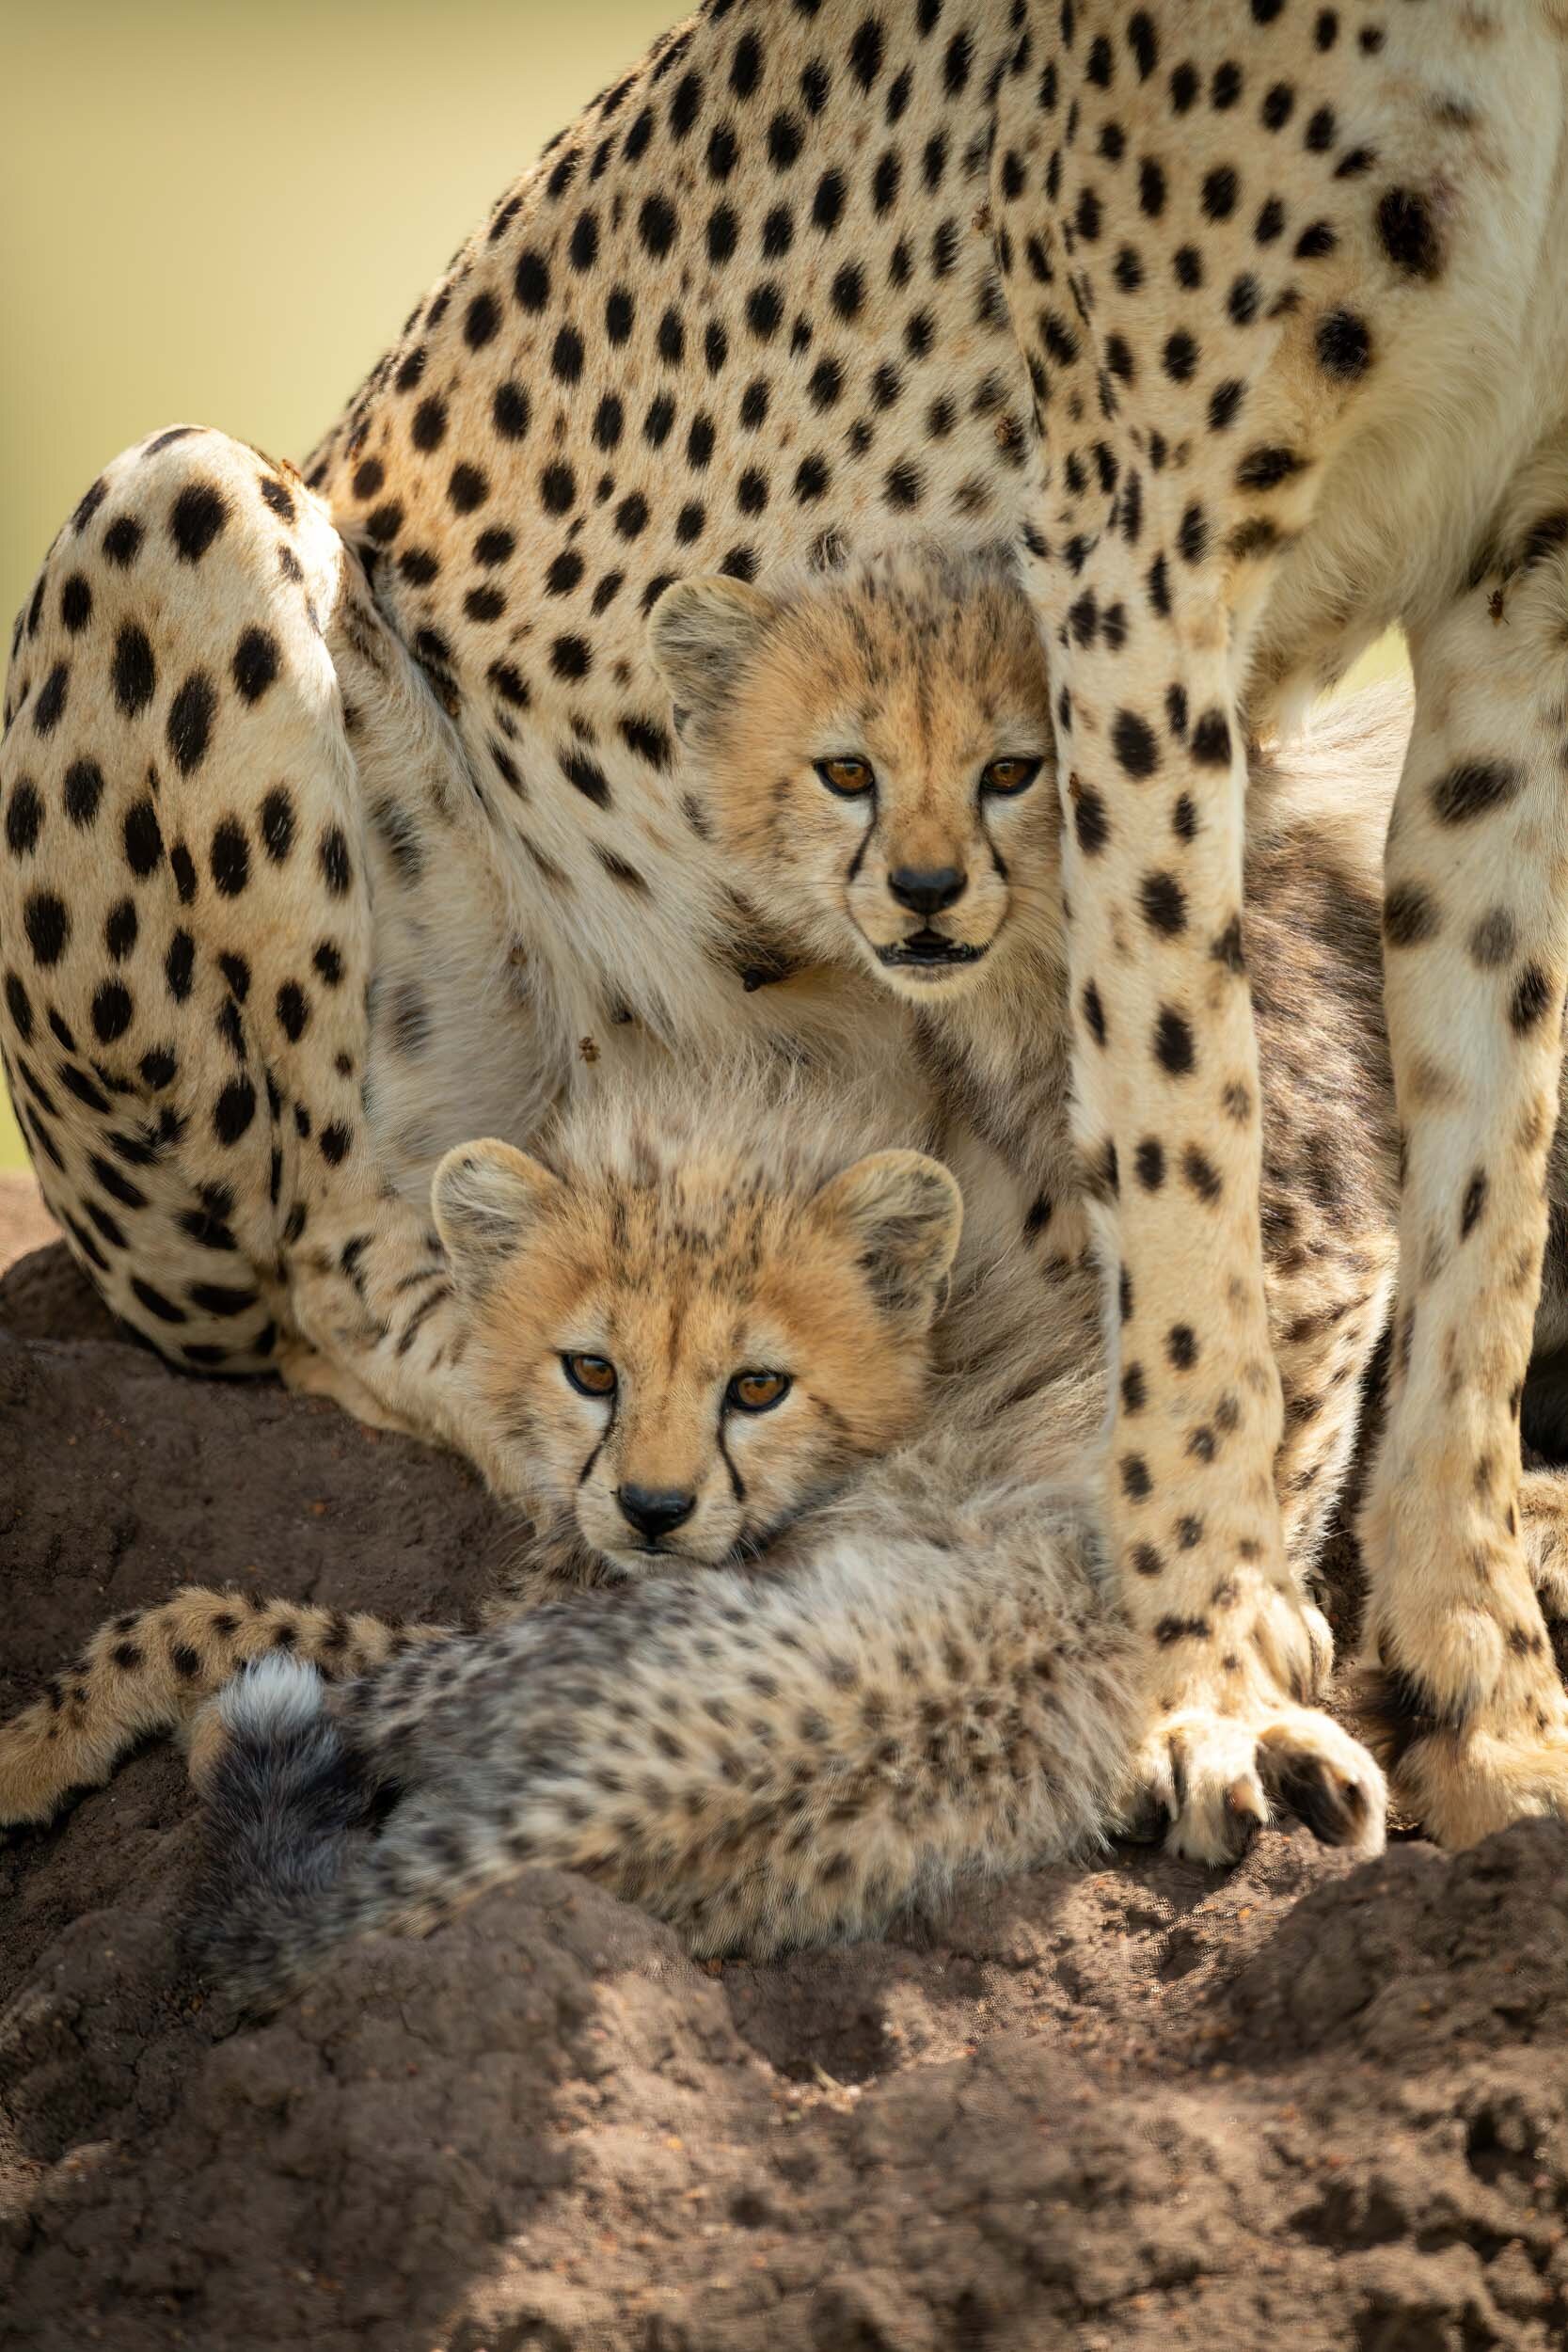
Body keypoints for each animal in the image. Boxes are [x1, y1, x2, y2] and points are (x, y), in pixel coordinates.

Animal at [6, 0, 1568, 1859]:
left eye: (1000, 772)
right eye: (841, 771)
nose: (924, 891)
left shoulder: (1525, 570)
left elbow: (1488, 1168)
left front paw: (1489, 1691)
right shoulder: (1136, 556)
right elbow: (1187, 1146)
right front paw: (1213, 1674)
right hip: (178, 505)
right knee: (321, 1277)